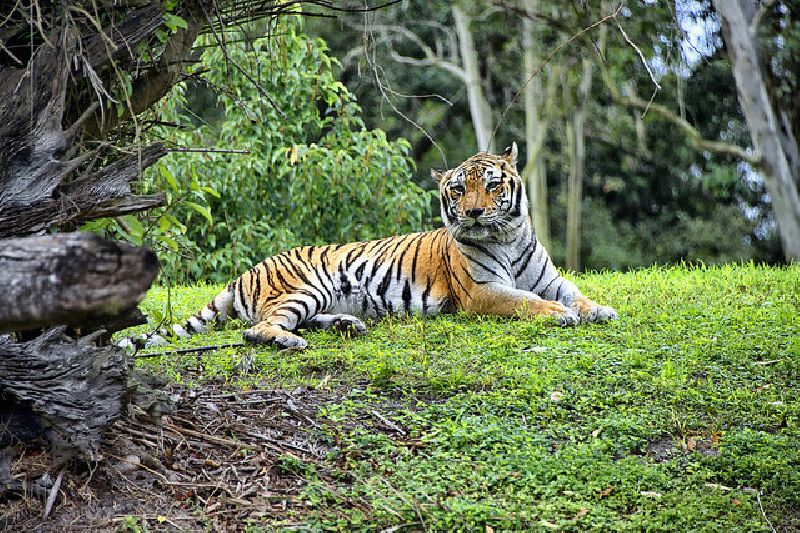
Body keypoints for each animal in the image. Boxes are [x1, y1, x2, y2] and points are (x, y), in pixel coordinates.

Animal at [128, 142, 617, 351]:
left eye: (492, 185)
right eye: (458, 190)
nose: (475, 213)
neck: (506, 236)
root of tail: (245, 272)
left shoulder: (550, 278)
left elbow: (575, 293)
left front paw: (599, 310)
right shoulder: (482, 293)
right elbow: (524, 301)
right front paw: (559, 315)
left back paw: (347, 325)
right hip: (306, 287)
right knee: (259, 328)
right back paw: (292, 341)